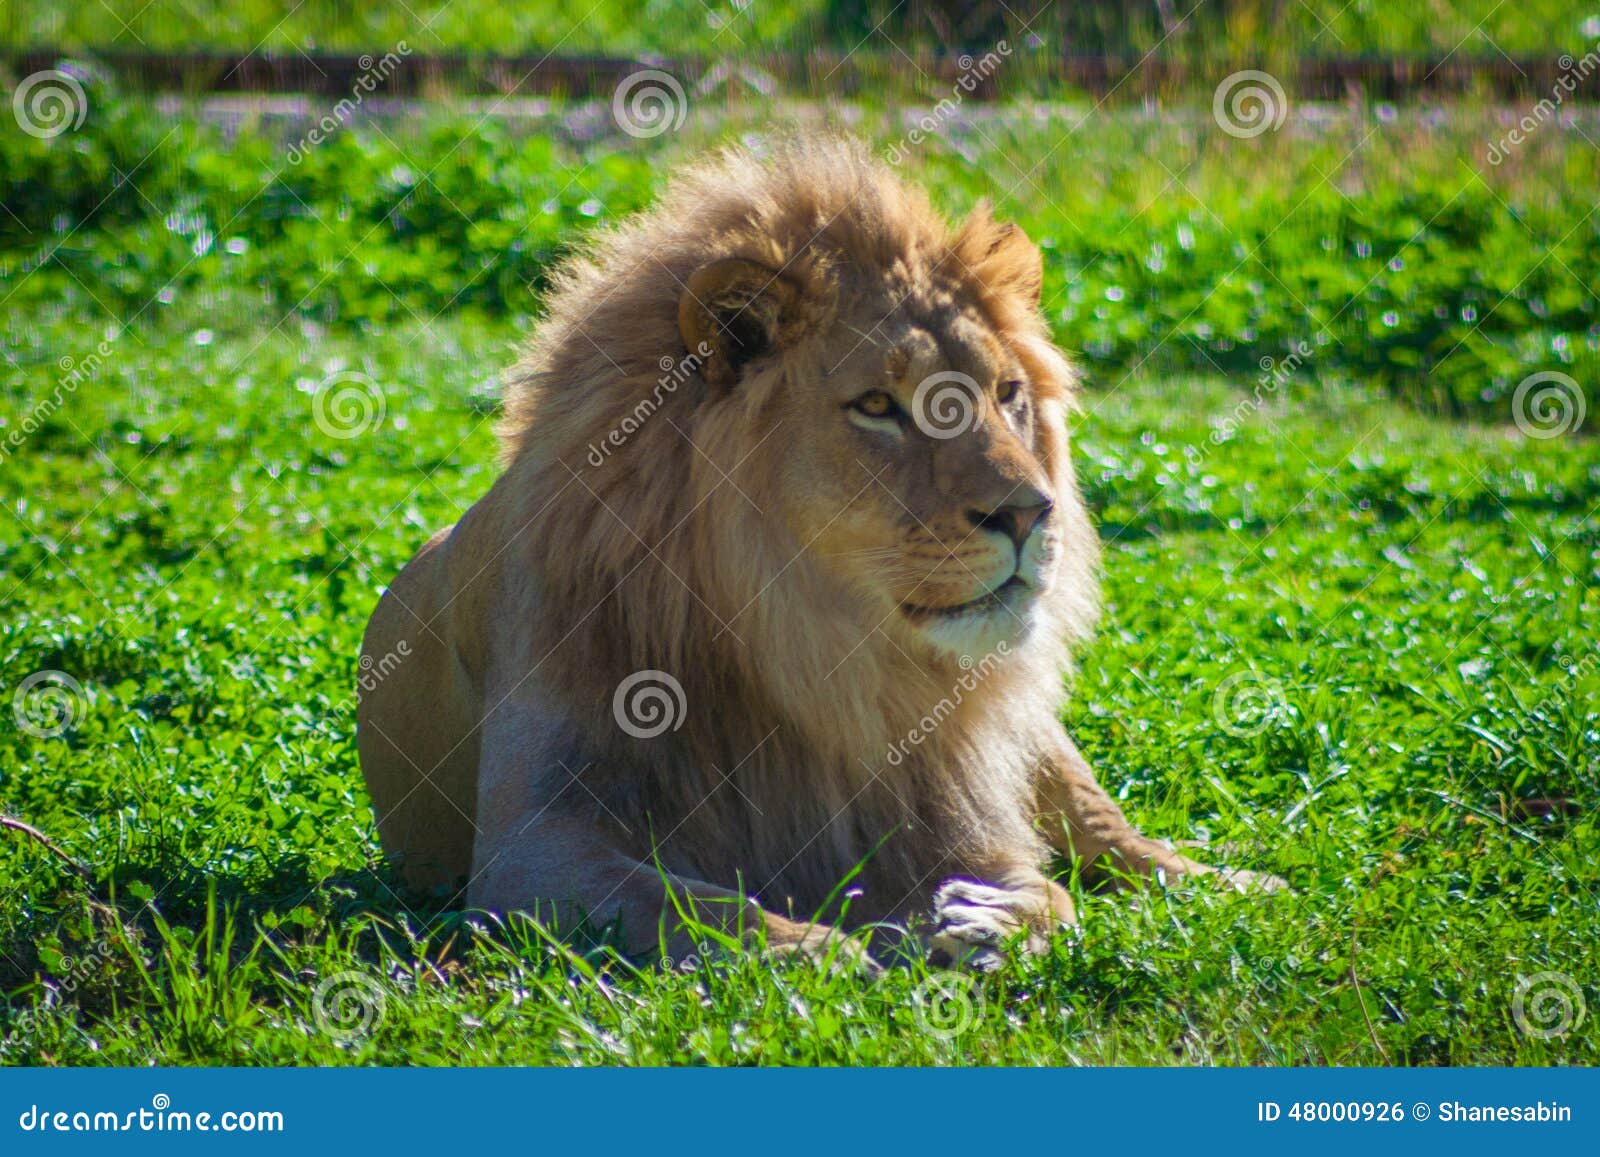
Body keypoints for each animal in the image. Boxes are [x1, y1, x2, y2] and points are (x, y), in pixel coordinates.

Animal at [356, 138, 1278, 969]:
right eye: (878, 406)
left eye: (1008, 394)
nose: (1028, 513)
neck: (813, 648)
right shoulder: (530, 845)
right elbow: (687, 903)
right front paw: (822, 948)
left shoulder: (957, 799)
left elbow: (1046, 887)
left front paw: (979, 919)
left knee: (1109, 828)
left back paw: (1236, 885)